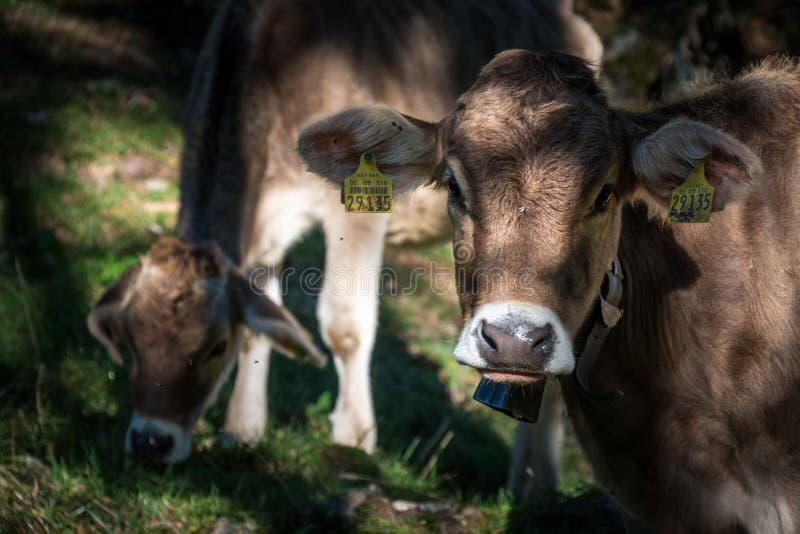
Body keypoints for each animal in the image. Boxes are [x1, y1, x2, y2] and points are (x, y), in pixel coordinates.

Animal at [87, 0, 603, 465]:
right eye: (130, 342)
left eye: (214, 347)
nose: (151, 441)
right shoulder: (266, 227)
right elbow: (264, 323)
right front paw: (242, 430)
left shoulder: (357, 213)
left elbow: (344, 324)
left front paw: (353, 437)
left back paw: (537, 481)